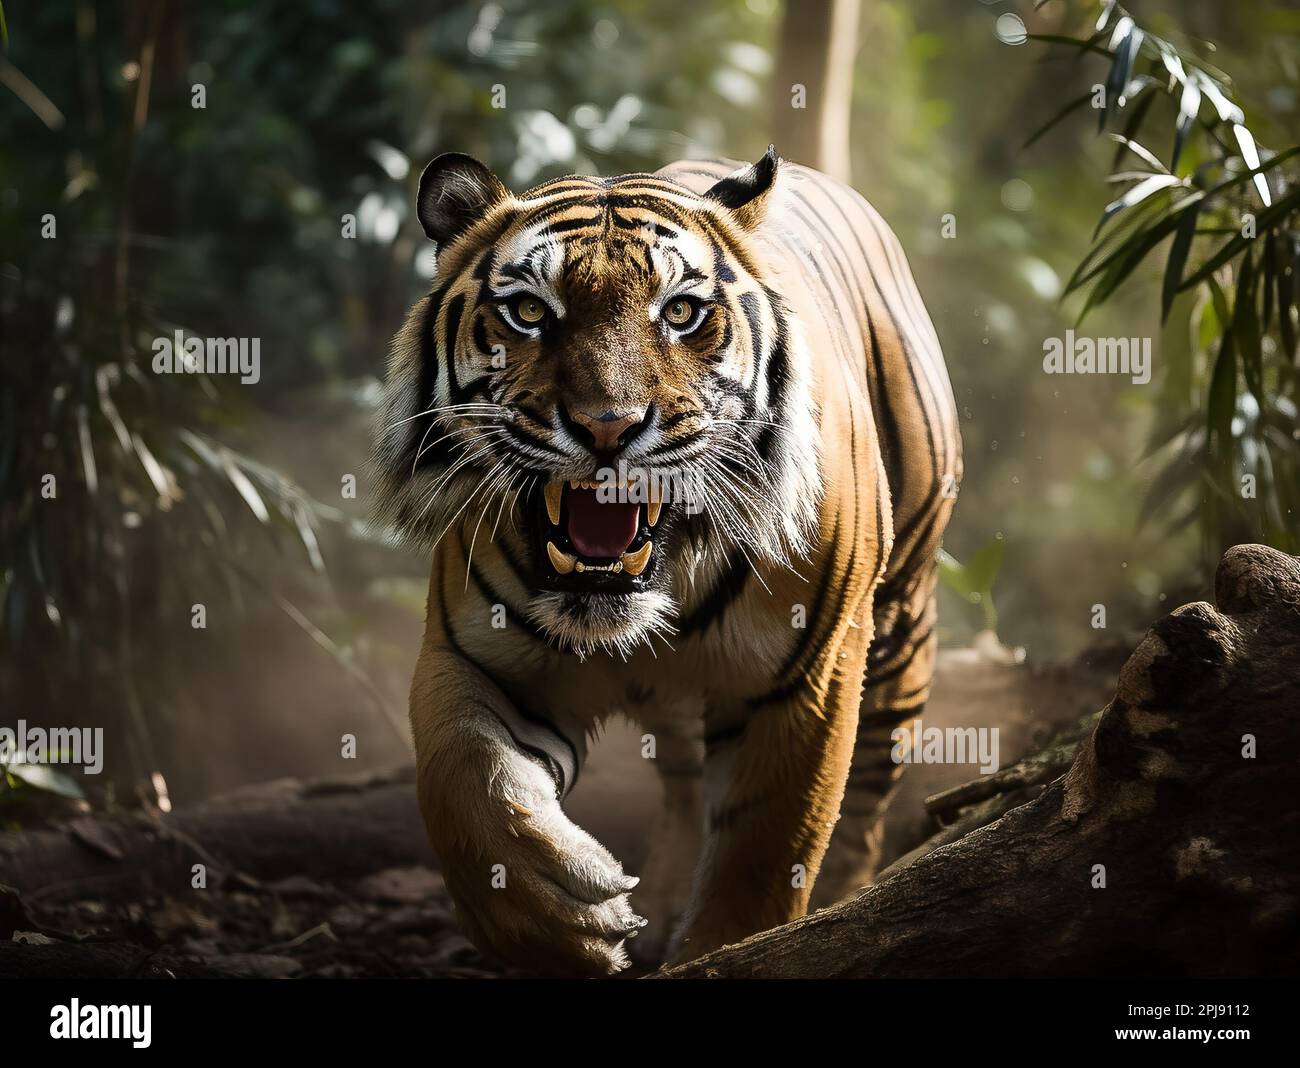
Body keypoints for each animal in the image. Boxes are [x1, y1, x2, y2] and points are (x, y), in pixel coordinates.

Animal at [373, 146, 961, 974]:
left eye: (681, 314)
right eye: (531, 313)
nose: (607, 427)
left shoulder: (805, 680)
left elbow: (765, 850)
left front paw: (732, 948)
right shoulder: (474, 656)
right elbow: (465, 783)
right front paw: (560, 913)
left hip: (901, 620)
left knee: (872, 779)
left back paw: (850, 896)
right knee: (683, 783)